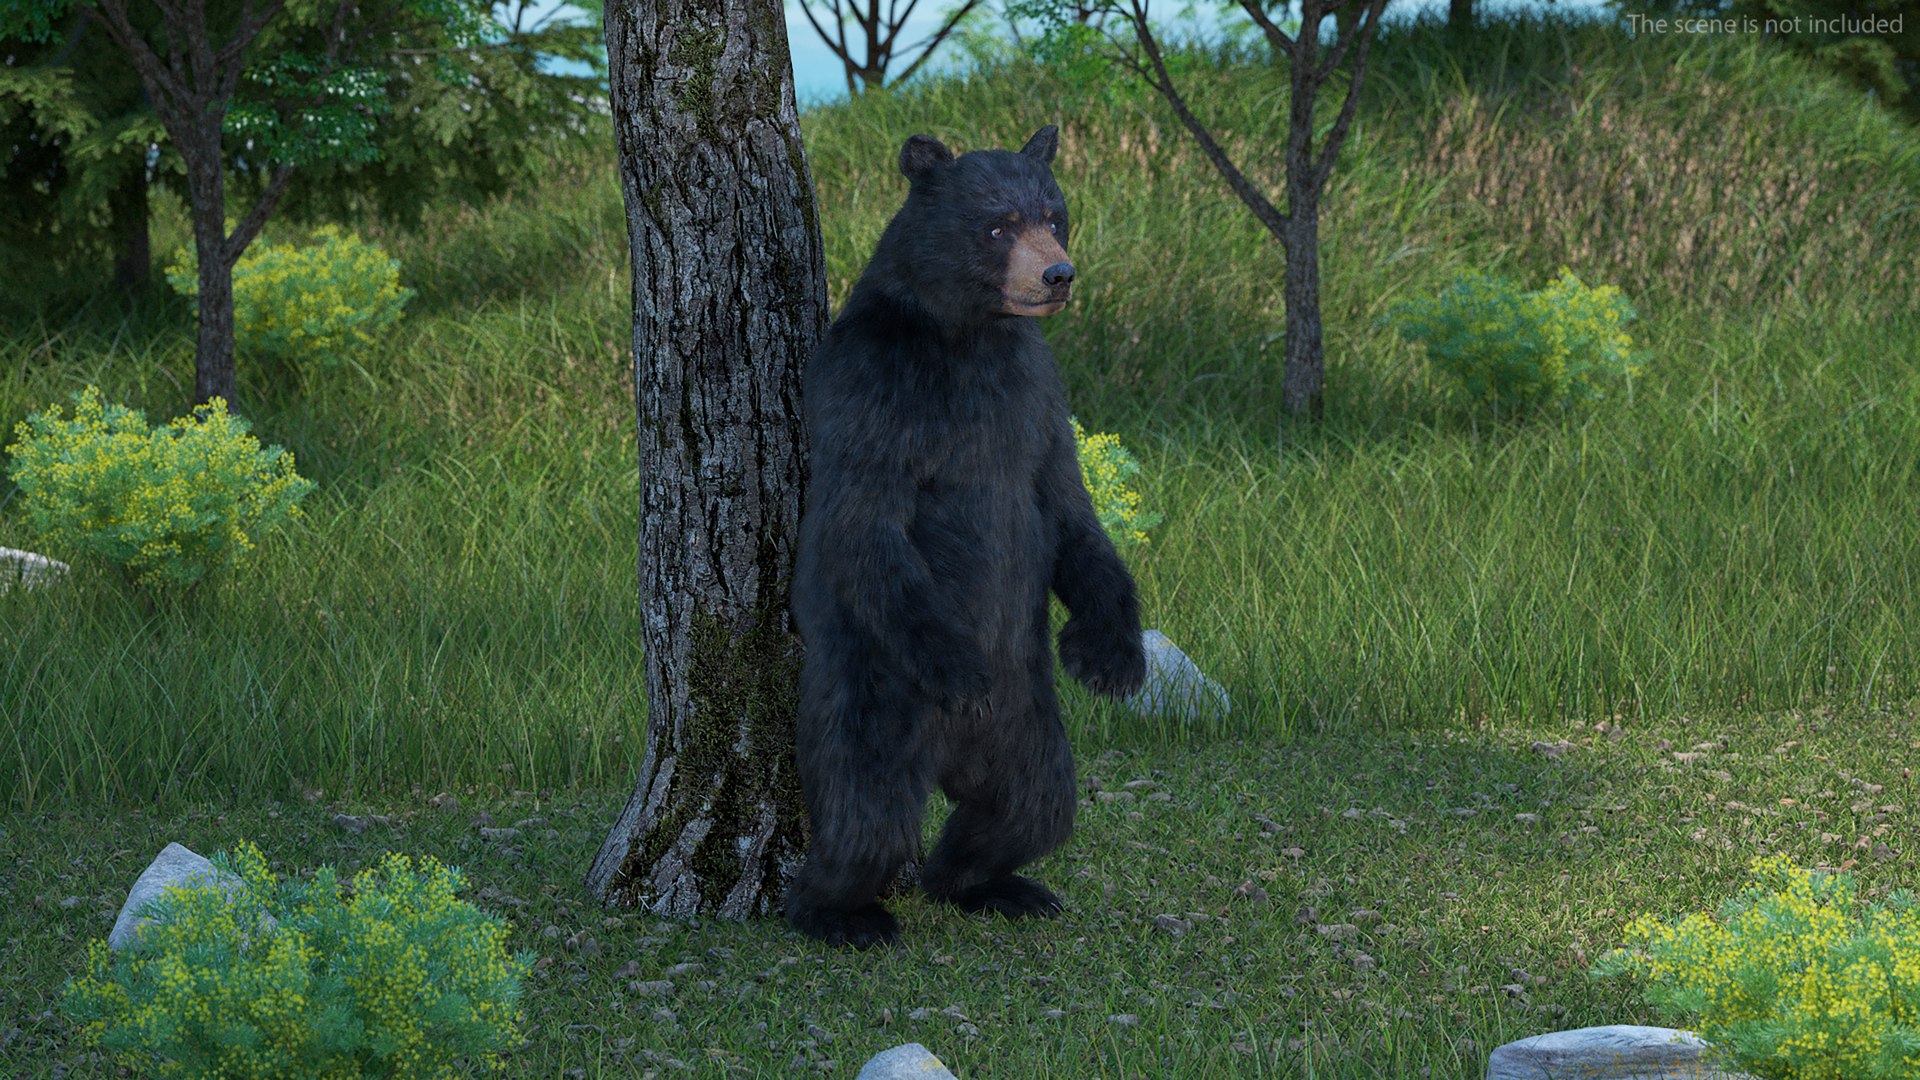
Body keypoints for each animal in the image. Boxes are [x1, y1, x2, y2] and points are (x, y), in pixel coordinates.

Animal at [784, 124, 1148, 949]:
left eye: (1054, 214)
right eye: (996, 226)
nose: (1057, 274)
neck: (966, 332)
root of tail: (953, 762)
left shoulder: (1033, 390)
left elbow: (1068, 510)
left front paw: (1112, 658)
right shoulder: (875, 382)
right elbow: (866, 519)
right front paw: (963, 675)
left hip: (1032, 721)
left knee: (1034, 803)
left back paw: (991, 883)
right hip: (871, 696)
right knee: (866, 816)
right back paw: (838, 910)